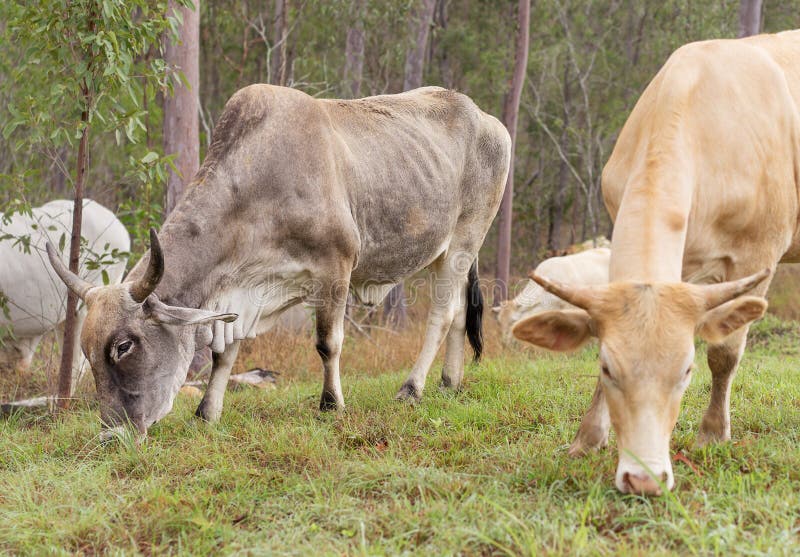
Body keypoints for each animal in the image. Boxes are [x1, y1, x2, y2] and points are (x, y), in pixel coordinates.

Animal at [46, 85, 511, 438]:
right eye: (85, 349)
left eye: (124, 346)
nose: (111, 435)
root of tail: (486, 117)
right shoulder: (237, 296)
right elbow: (224, 354)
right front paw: (207, 412)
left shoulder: (335, 268)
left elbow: (327, 343)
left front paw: (331, 404)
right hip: (447, 253)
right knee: (457, 314)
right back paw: (450, 383)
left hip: (465, 239)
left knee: (440, 314)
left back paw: (413, 387)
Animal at [513, 30, 800, 495]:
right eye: (607, 367)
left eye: (686, 370)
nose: (644, 479)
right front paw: (587, 437)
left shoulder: (757, 255)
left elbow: (725, 353)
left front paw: (712, 433)